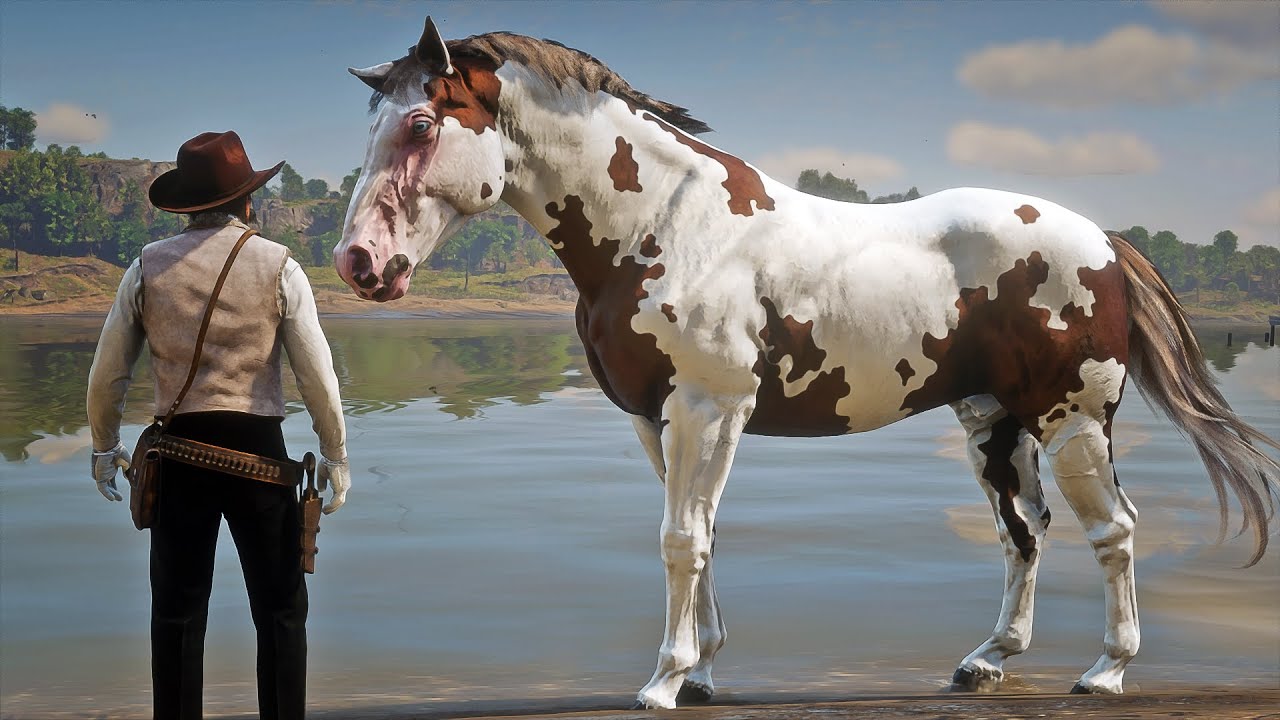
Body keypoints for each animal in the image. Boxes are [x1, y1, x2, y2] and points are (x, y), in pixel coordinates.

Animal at [334, 17, 1280, 710]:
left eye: (422, 123)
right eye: (372, 125)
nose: (359, 264)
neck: (664, 224)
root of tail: (1105, 243)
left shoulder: (707, 407)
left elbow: (681, 539)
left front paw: (664, 681)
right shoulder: (654, 418)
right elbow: (703, 537)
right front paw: (704, 673)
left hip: (1071, 417)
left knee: (1112, 530)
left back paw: (1107, 670)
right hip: (994, 425)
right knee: (1026, 532)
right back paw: (986, 662)